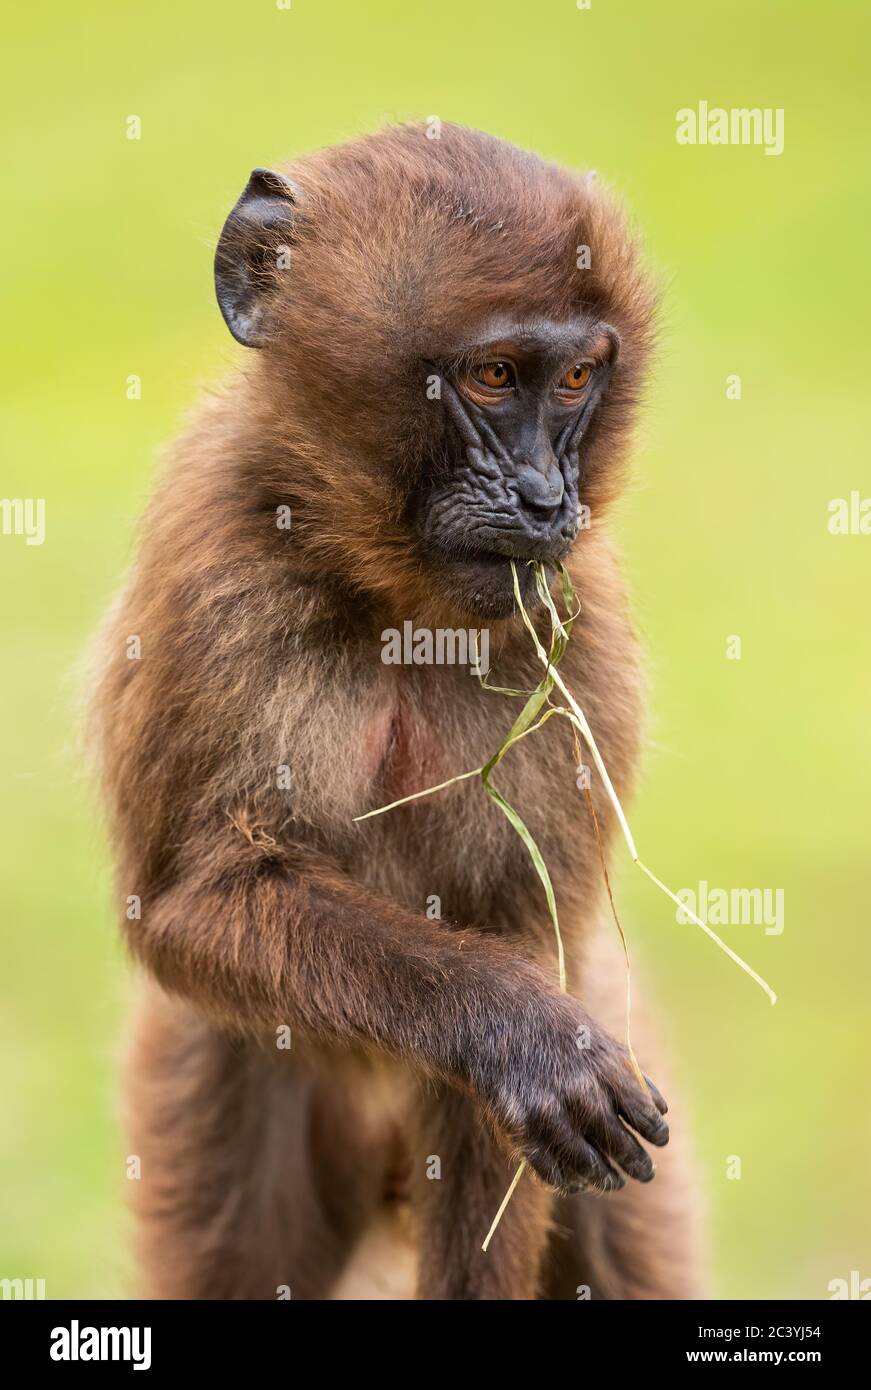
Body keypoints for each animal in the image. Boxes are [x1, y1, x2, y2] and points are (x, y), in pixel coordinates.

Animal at [90, 122, 703, 1301]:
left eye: (575, 380)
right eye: (493, 376)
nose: (547, 502)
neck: (396, 603)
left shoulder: (578, 624)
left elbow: (529, 931)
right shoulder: (214, 558)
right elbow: (192, 903)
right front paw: (513, 1032)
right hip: (232, 1076)